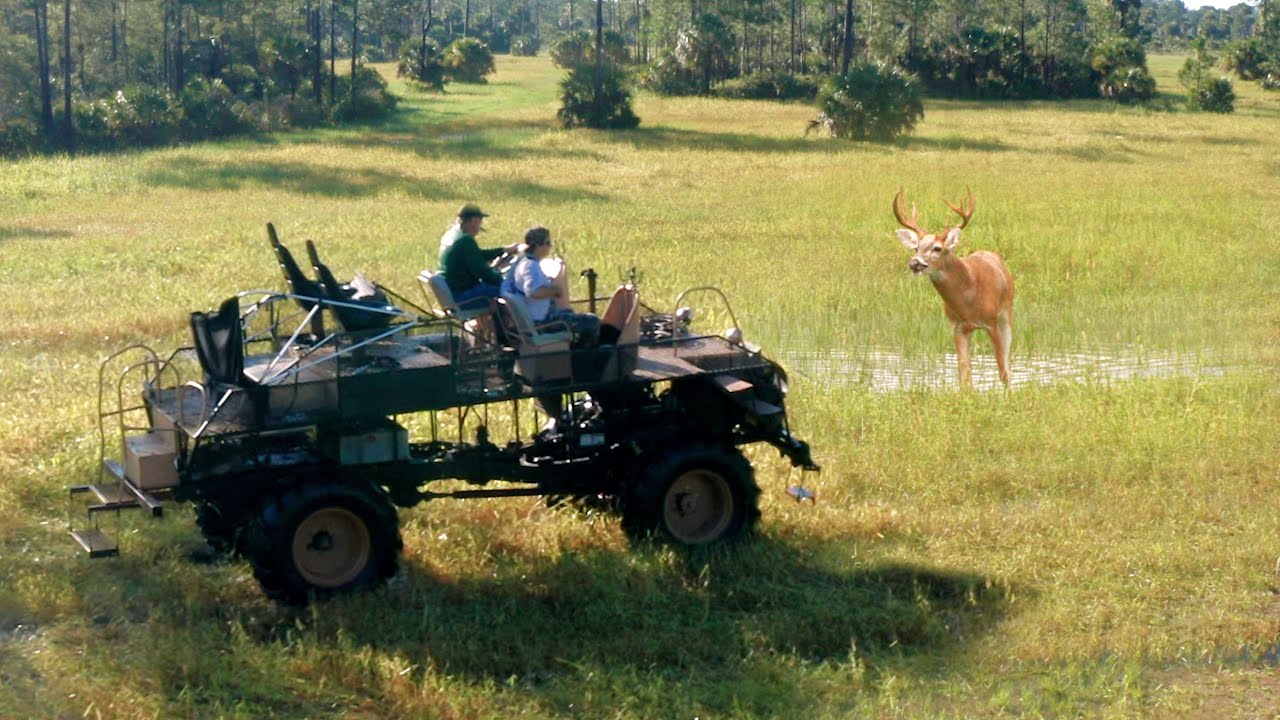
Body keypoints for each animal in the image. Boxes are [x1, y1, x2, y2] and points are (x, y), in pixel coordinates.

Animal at [893, 188, 1014, 389]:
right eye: (916, 248)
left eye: (937, 248)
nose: (914, 263)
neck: (968, 298)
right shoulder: (957, 327)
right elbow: (964, 376)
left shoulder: (991, 322)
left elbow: (1002, 371)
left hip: (1006, 312)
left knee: (1007, 363)